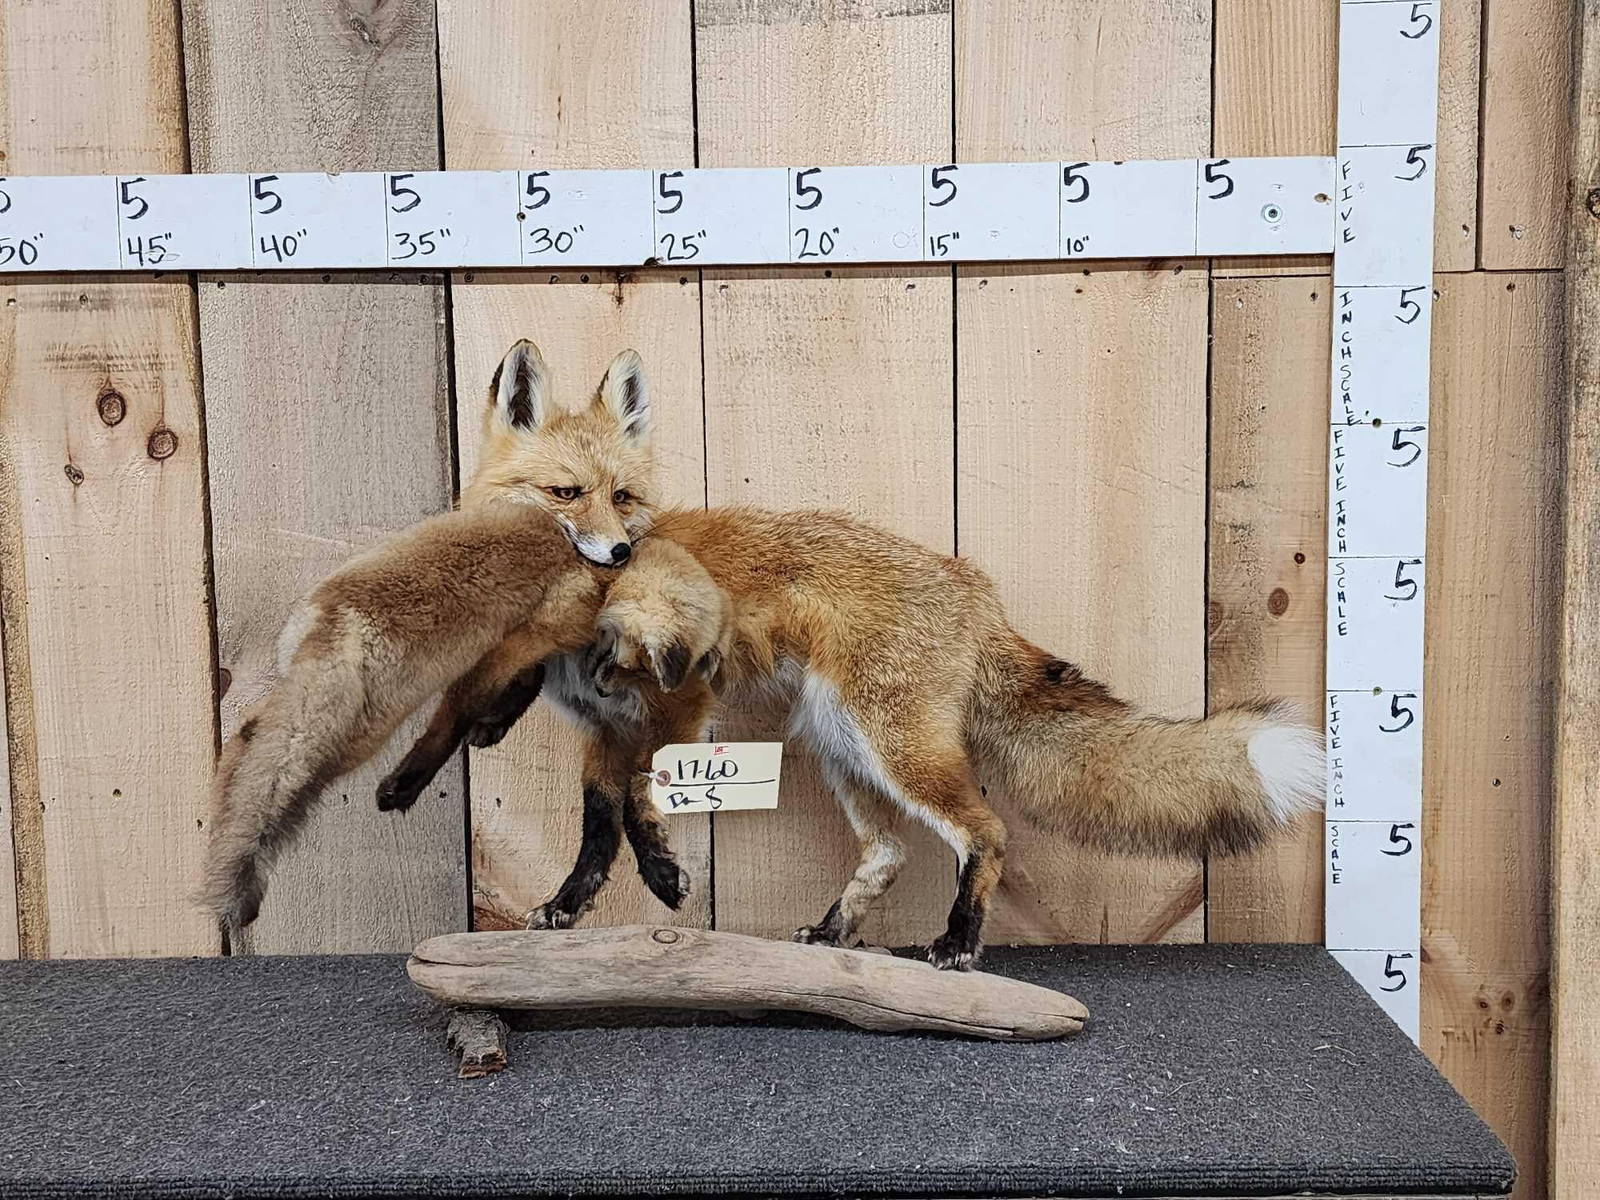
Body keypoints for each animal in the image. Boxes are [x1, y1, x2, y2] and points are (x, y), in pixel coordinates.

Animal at [197, 347, 730, 931]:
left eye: (622, 496)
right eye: (567, 492)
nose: (619, 553)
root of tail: (333, 615)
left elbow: (508, 687)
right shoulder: (546, 623)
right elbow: (469, 701)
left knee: (246, 758)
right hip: (359, 730)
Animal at [376, 340, 1326, 970]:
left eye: (627, 498)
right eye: (567, 494)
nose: (615, 556)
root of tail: (976, 587)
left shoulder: (678, 704)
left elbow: (642, 805)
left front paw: (668, 883)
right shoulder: (601, 729)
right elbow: (600, 825)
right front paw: (566, 909)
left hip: (893, 745)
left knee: (984, 831)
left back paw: (957, 943)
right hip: (842, 747)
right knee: (890, 852)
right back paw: (833, 934)